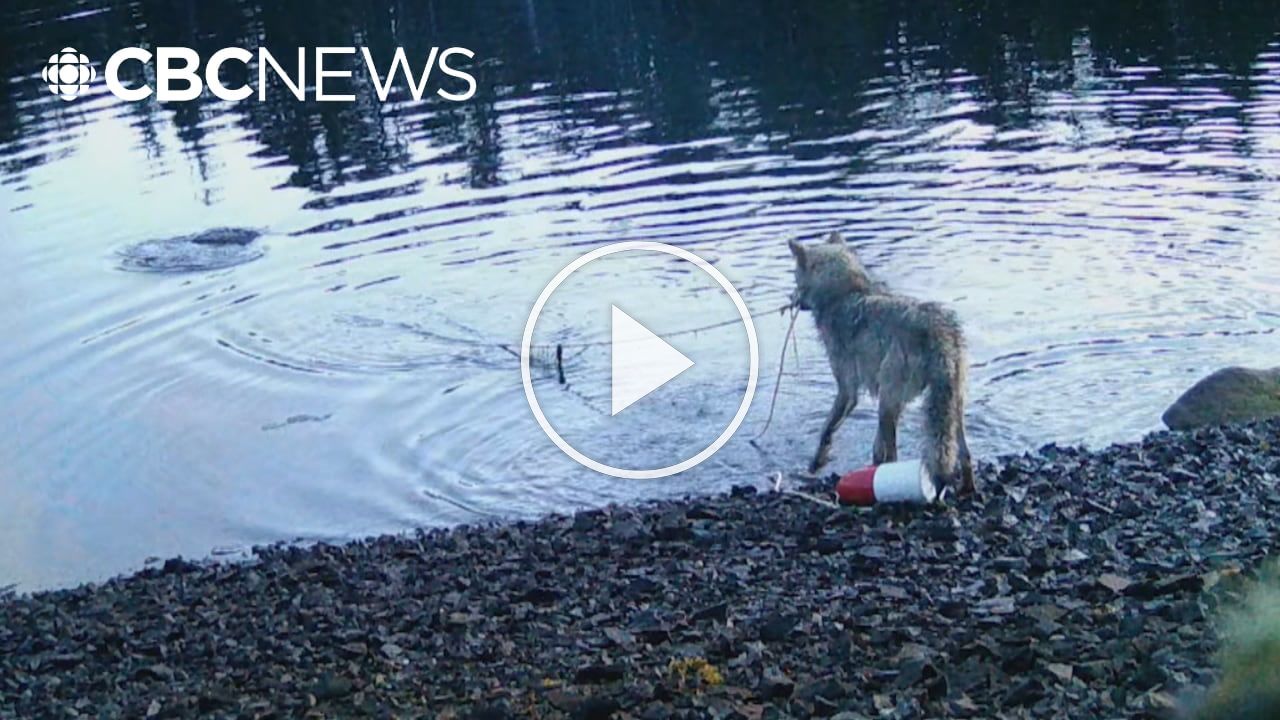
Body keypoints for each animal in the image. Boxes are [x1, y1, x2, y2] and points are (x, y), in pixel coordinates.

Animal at [789, 232, 976, 494]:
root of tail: (942, 333)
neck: (847, 292)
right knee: (965, 456)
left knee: (895, 454)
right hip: (951, 406)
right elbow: (875, 447)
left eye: (795, 277)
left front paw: (815, 464)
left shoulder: (847, 390)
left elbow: (827, 430)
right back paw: (967, 489)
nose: (791, 299)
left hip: (888, 402)